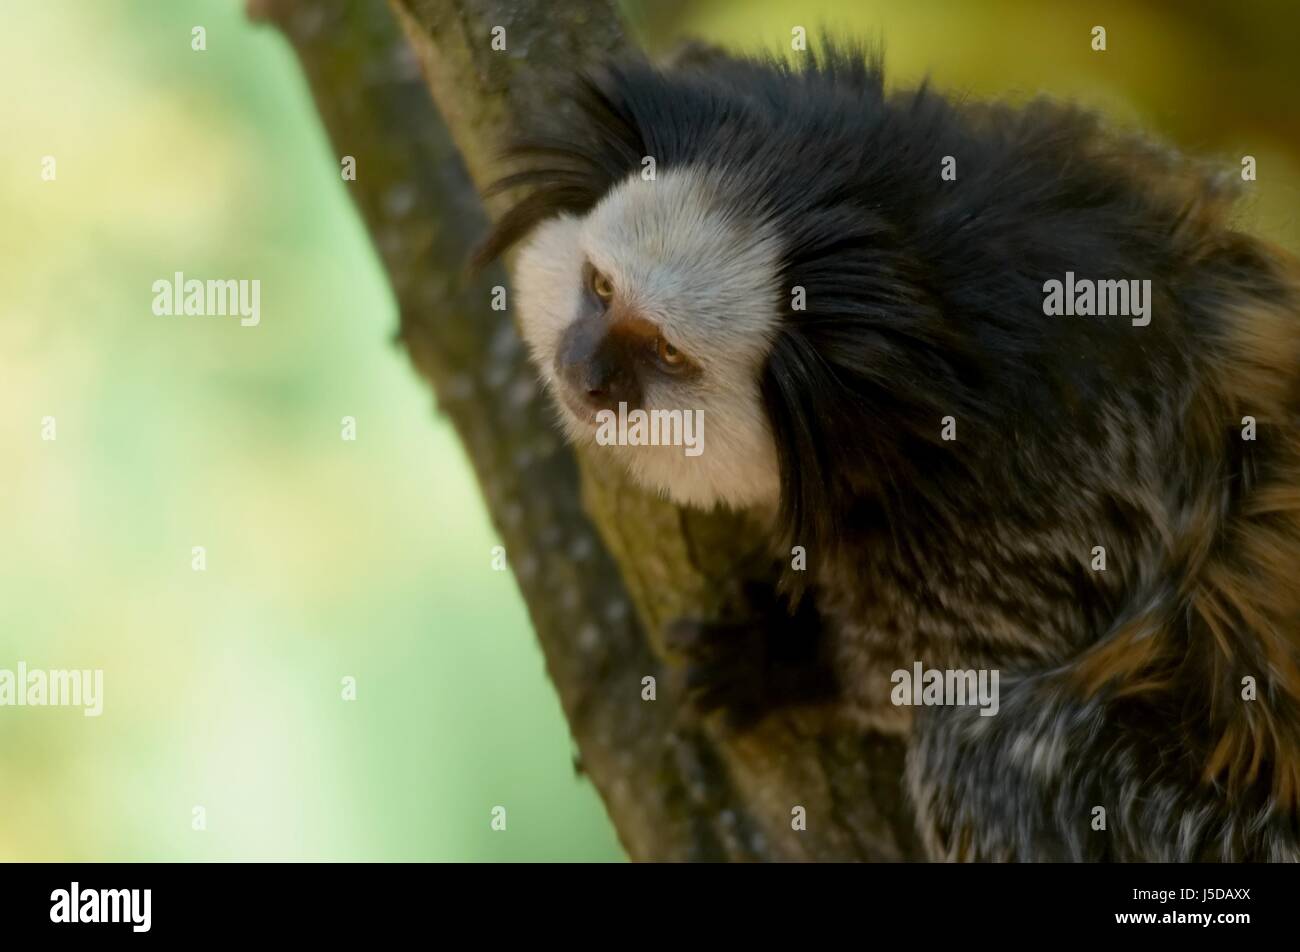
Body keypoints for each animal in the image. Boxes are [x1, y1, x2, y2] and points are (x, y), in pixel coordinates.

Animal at [475, 42, 1300, 861]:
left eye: (666, 352)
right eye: (598, 288)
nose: (583, 372)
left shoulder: (1044, 476)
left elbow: (969, 650)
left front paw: (789, 659)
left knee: (981, 749)